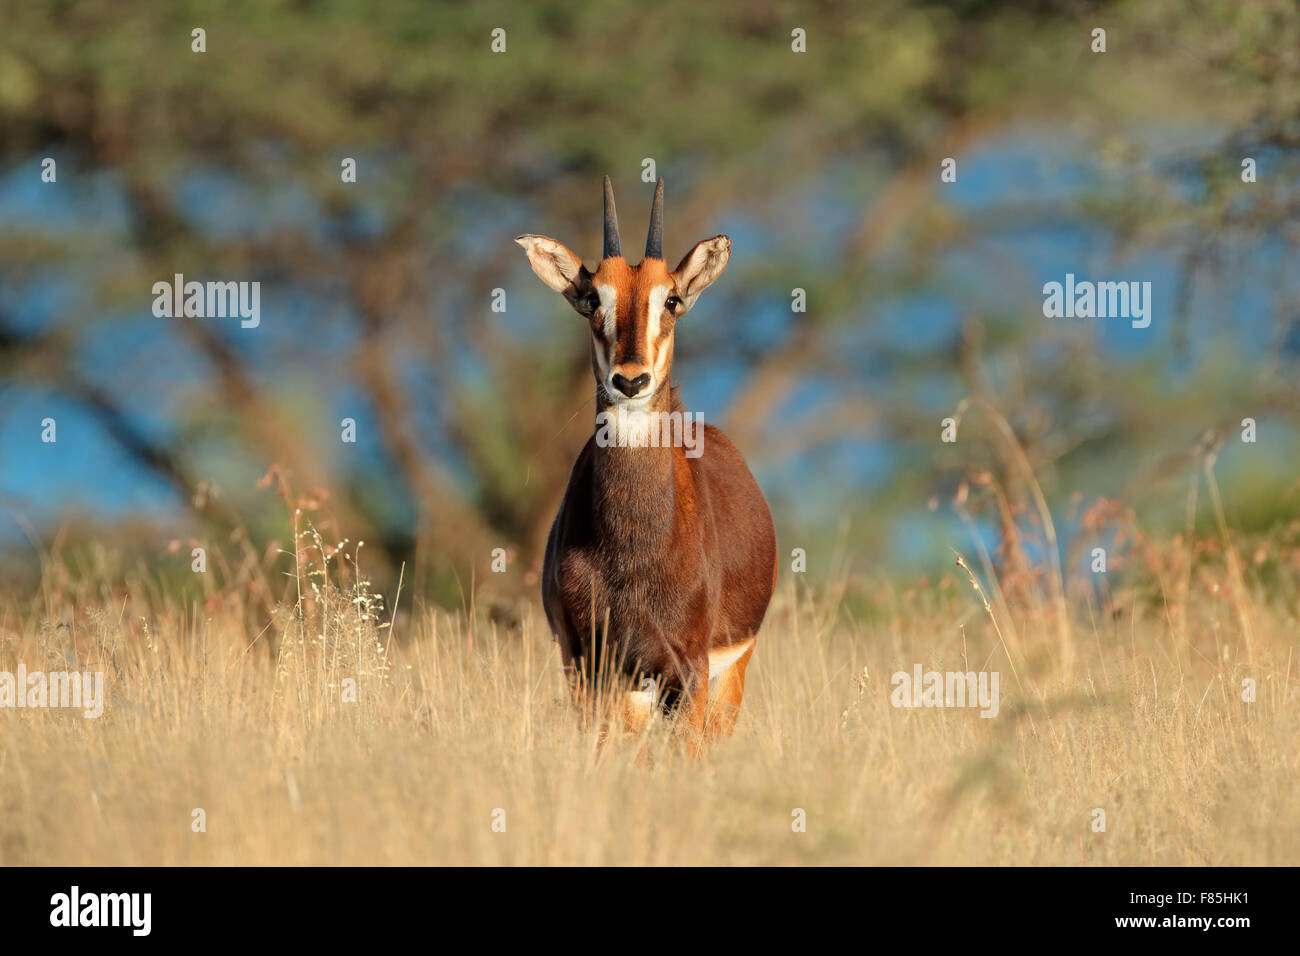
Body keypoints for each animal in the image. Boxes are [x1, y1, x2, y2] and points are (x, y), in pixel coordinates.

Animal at [516, 177, 777, 747]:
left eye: (671, 299)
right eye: (593, 297)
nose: (630, 380)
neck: (633, 549)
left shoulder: (689, 671)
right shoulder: (588, 664)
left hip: (728, 675)